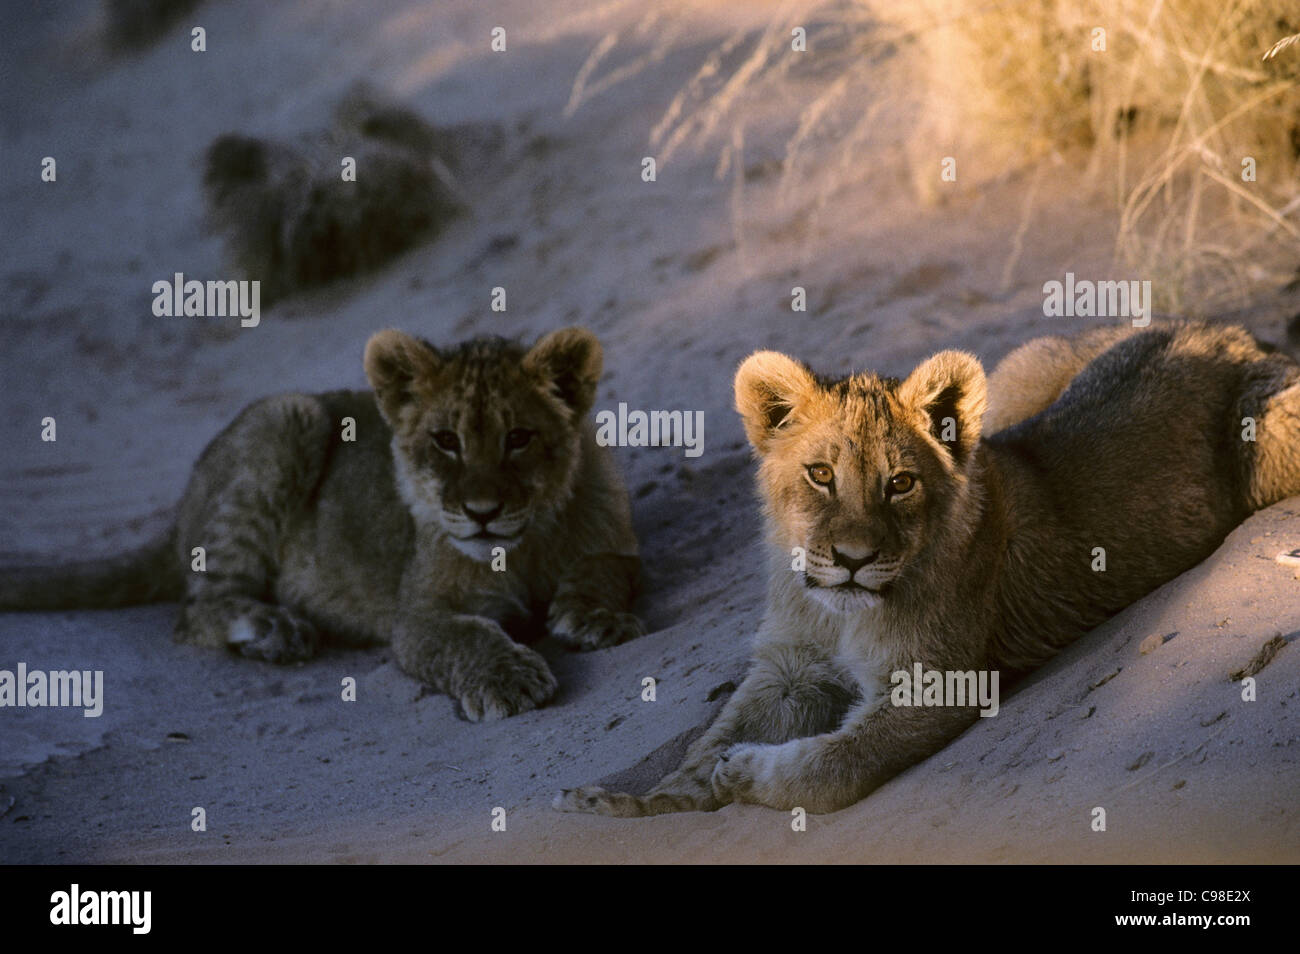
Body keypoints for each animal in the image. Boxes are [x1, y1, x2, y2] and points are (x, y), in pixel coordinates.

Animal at [0, 327, 643, 721]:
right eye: (446, 441)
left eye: (519, 438)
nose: (481, 513)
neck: (523, 549)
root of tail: (182, 505)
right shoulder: (418, 614)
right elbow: (467, 637)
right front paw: (507, 680)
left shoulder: (616, 537)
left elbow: (610, 568)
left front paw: (595, 616)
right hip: (286, 418)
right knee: (195, 611)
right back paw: (272, 630)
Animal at [556, 320, 1300, 815]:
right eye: (820, 475)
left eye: (901, 483)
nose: (853, 561)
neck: (836, 614)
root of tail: (1230, 329)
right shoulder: (789, 669)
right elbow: (712, 739)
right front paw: (631, 799)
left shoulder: (937, 682)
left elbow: (834, 764)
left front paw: (742, 776)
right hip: (1018, 375)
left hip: (1268, 440)